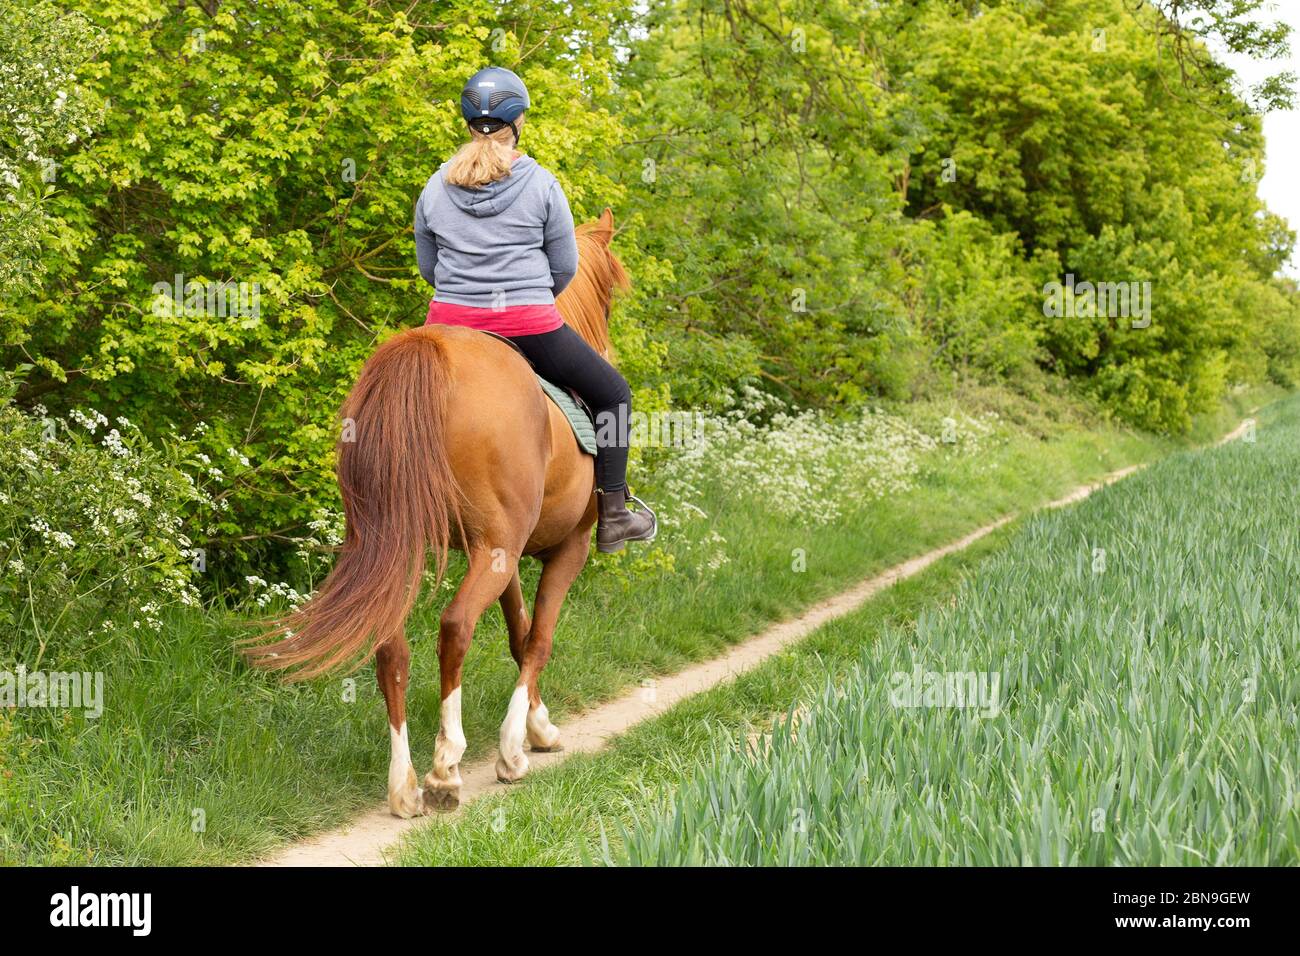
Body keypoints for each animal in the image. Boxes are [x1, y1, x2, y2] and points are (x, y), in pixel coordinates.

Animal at [244, 209, 630, 817]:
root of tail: (427, 350)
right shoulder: (564, 547)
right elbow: (538, 638)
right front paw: (517, 747)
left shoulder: (502, 554)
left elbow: (519, 634)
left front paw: (537, 727)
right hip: (491, 551)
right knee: (455, 628)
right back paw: (446, 766)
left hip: (405, 549)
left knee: (391, 648)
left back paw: (403, 785)